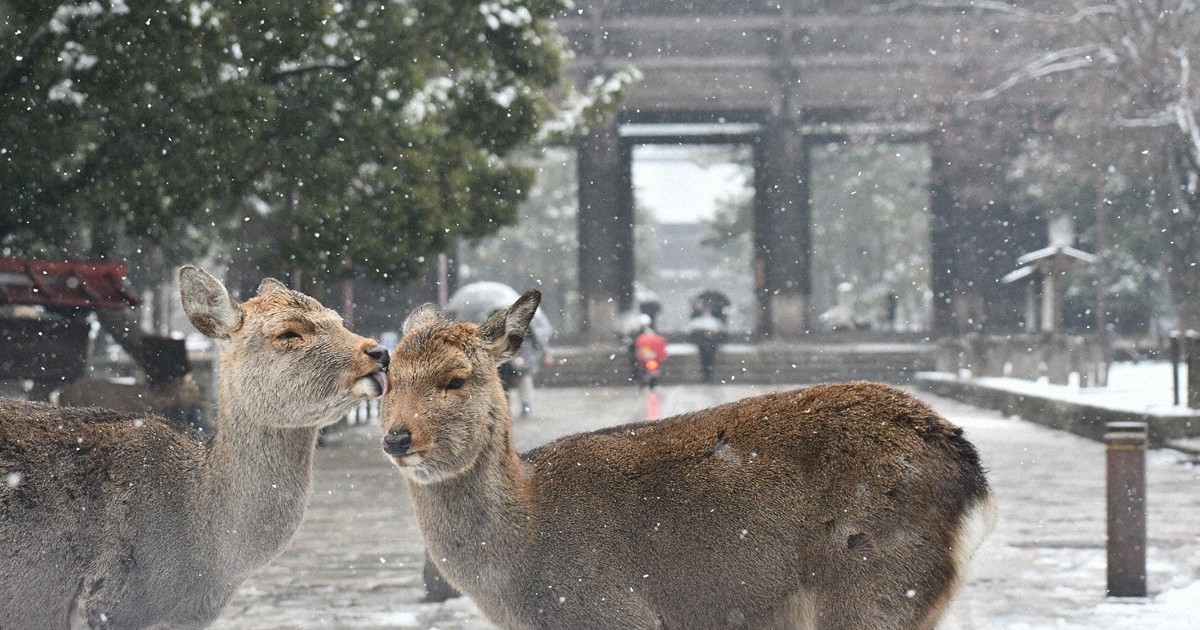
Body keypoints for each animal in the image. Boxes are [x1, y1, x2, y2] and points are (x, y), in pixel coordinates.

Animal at [382, 290, 996, 630]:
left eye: (456, 378)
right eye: (386, 373)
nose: (395, 438)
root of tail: (975, 481)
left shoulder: (615, 612)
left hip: (875, 586)